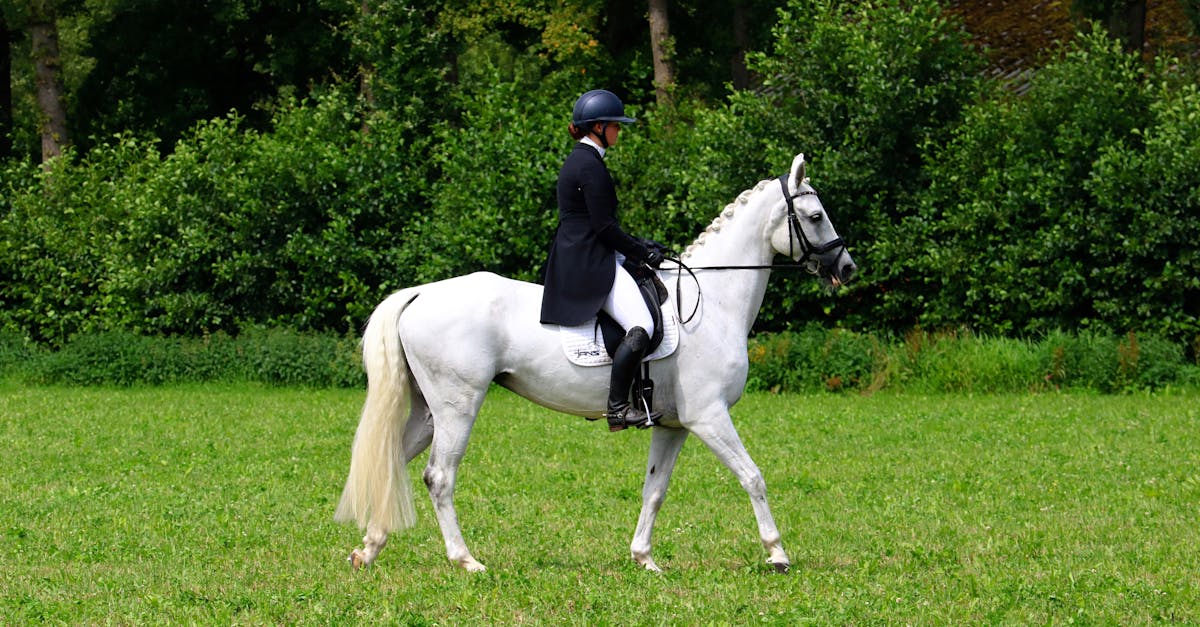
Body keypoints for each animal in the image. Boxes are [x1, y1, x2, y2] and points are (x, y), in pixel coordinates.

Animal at [338, 152, 859, 571]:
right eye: (815, 216)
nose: (847, 268)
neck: (712, 300)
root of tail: (420, 294)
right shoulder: (709, 416)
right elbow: (752, 476)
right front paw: (777, 553)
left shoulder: (674, 425)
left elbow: (655, 490)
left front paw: (644, 558)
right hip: (457, 406)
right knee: (439, 477)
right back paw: (465, 560)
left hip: (428, 411)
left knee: (392, 462)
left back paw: (368, 548)